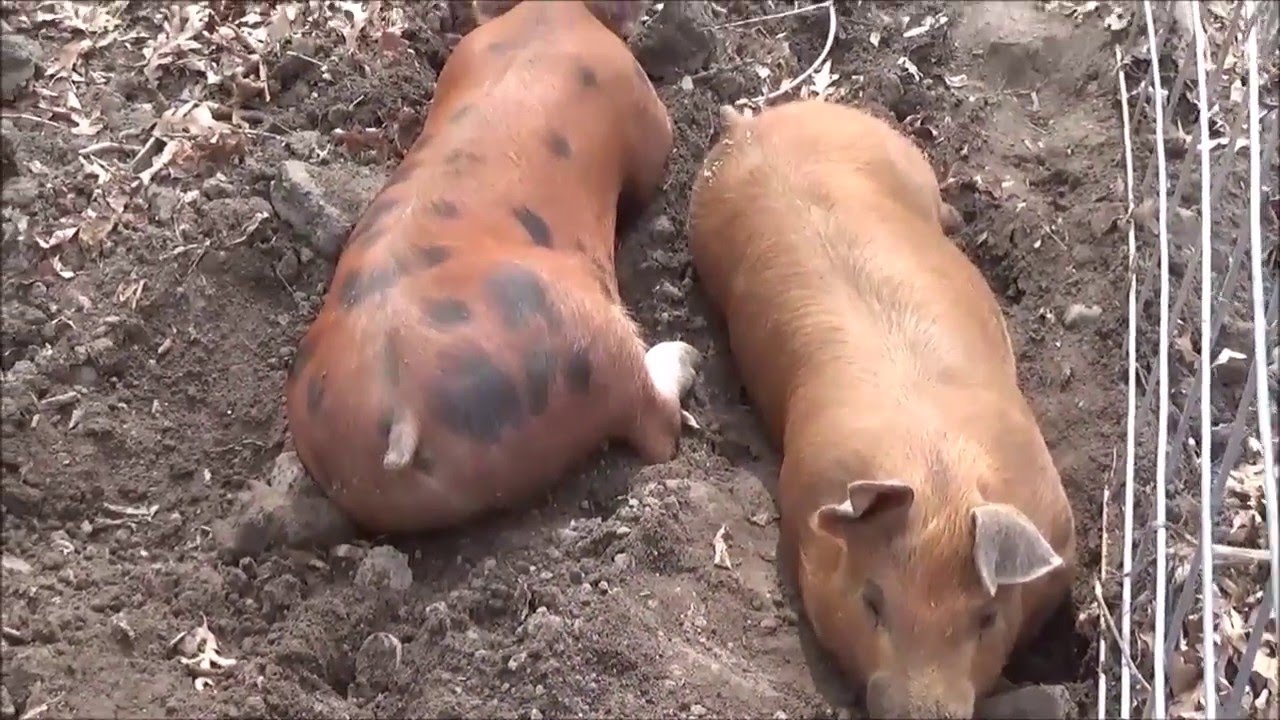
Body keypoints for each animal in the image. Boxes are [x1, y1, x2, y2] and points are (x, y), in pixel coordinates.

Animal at [284, 0, 700, 535]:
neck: (549, 17)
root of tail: (401, 409)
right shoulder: (644, 109)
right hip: (583, 336)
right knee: (654, 424)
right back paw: (686, 355)